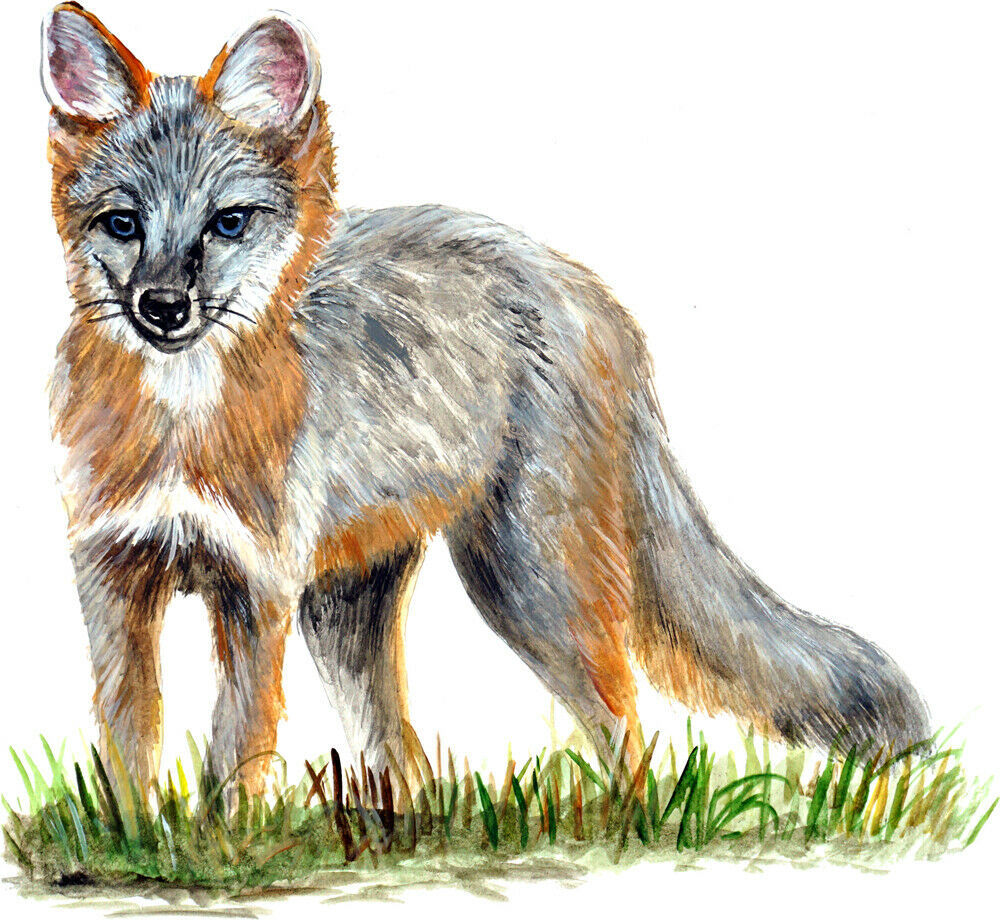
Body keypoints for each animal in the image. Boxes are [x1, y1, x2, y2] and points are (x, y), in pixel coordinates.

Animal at [41, 4, 930, 796]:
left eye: (227, 224)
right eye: (123, 223)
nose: (162, 308)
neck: (177, 437)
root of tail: (580, 282)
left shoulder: (256, 591)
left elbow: (236, 754)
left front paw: (224, 846)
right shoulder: (111, 577)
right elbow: (126, 749)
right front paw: (141, 845)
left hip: (530, 586)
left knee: (624, 723)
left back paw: (623, 831)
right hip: (348, 614)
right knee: (401, 755)